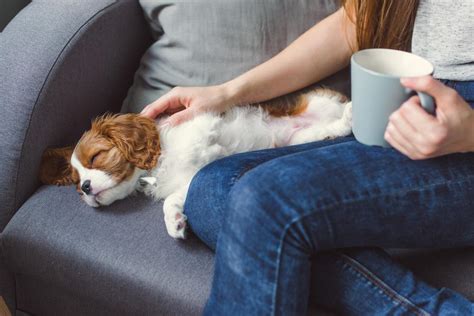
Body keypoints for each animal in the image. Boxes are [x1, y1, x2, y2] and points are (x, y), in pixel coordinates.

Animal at [39, 87, 352, 238]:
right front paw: (174, 223)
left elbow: (200, 137)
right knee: (332, 130)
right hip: (301, 137)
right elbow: (172, 199)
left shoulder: (198, 119)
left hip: (318, 101)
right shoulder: (189, 182)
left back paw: (352, 112)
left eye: (96, 157)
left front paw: (209, 146)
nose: (86, 188)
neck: (155, 167)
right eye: (76, 184)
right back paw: (340, 124)